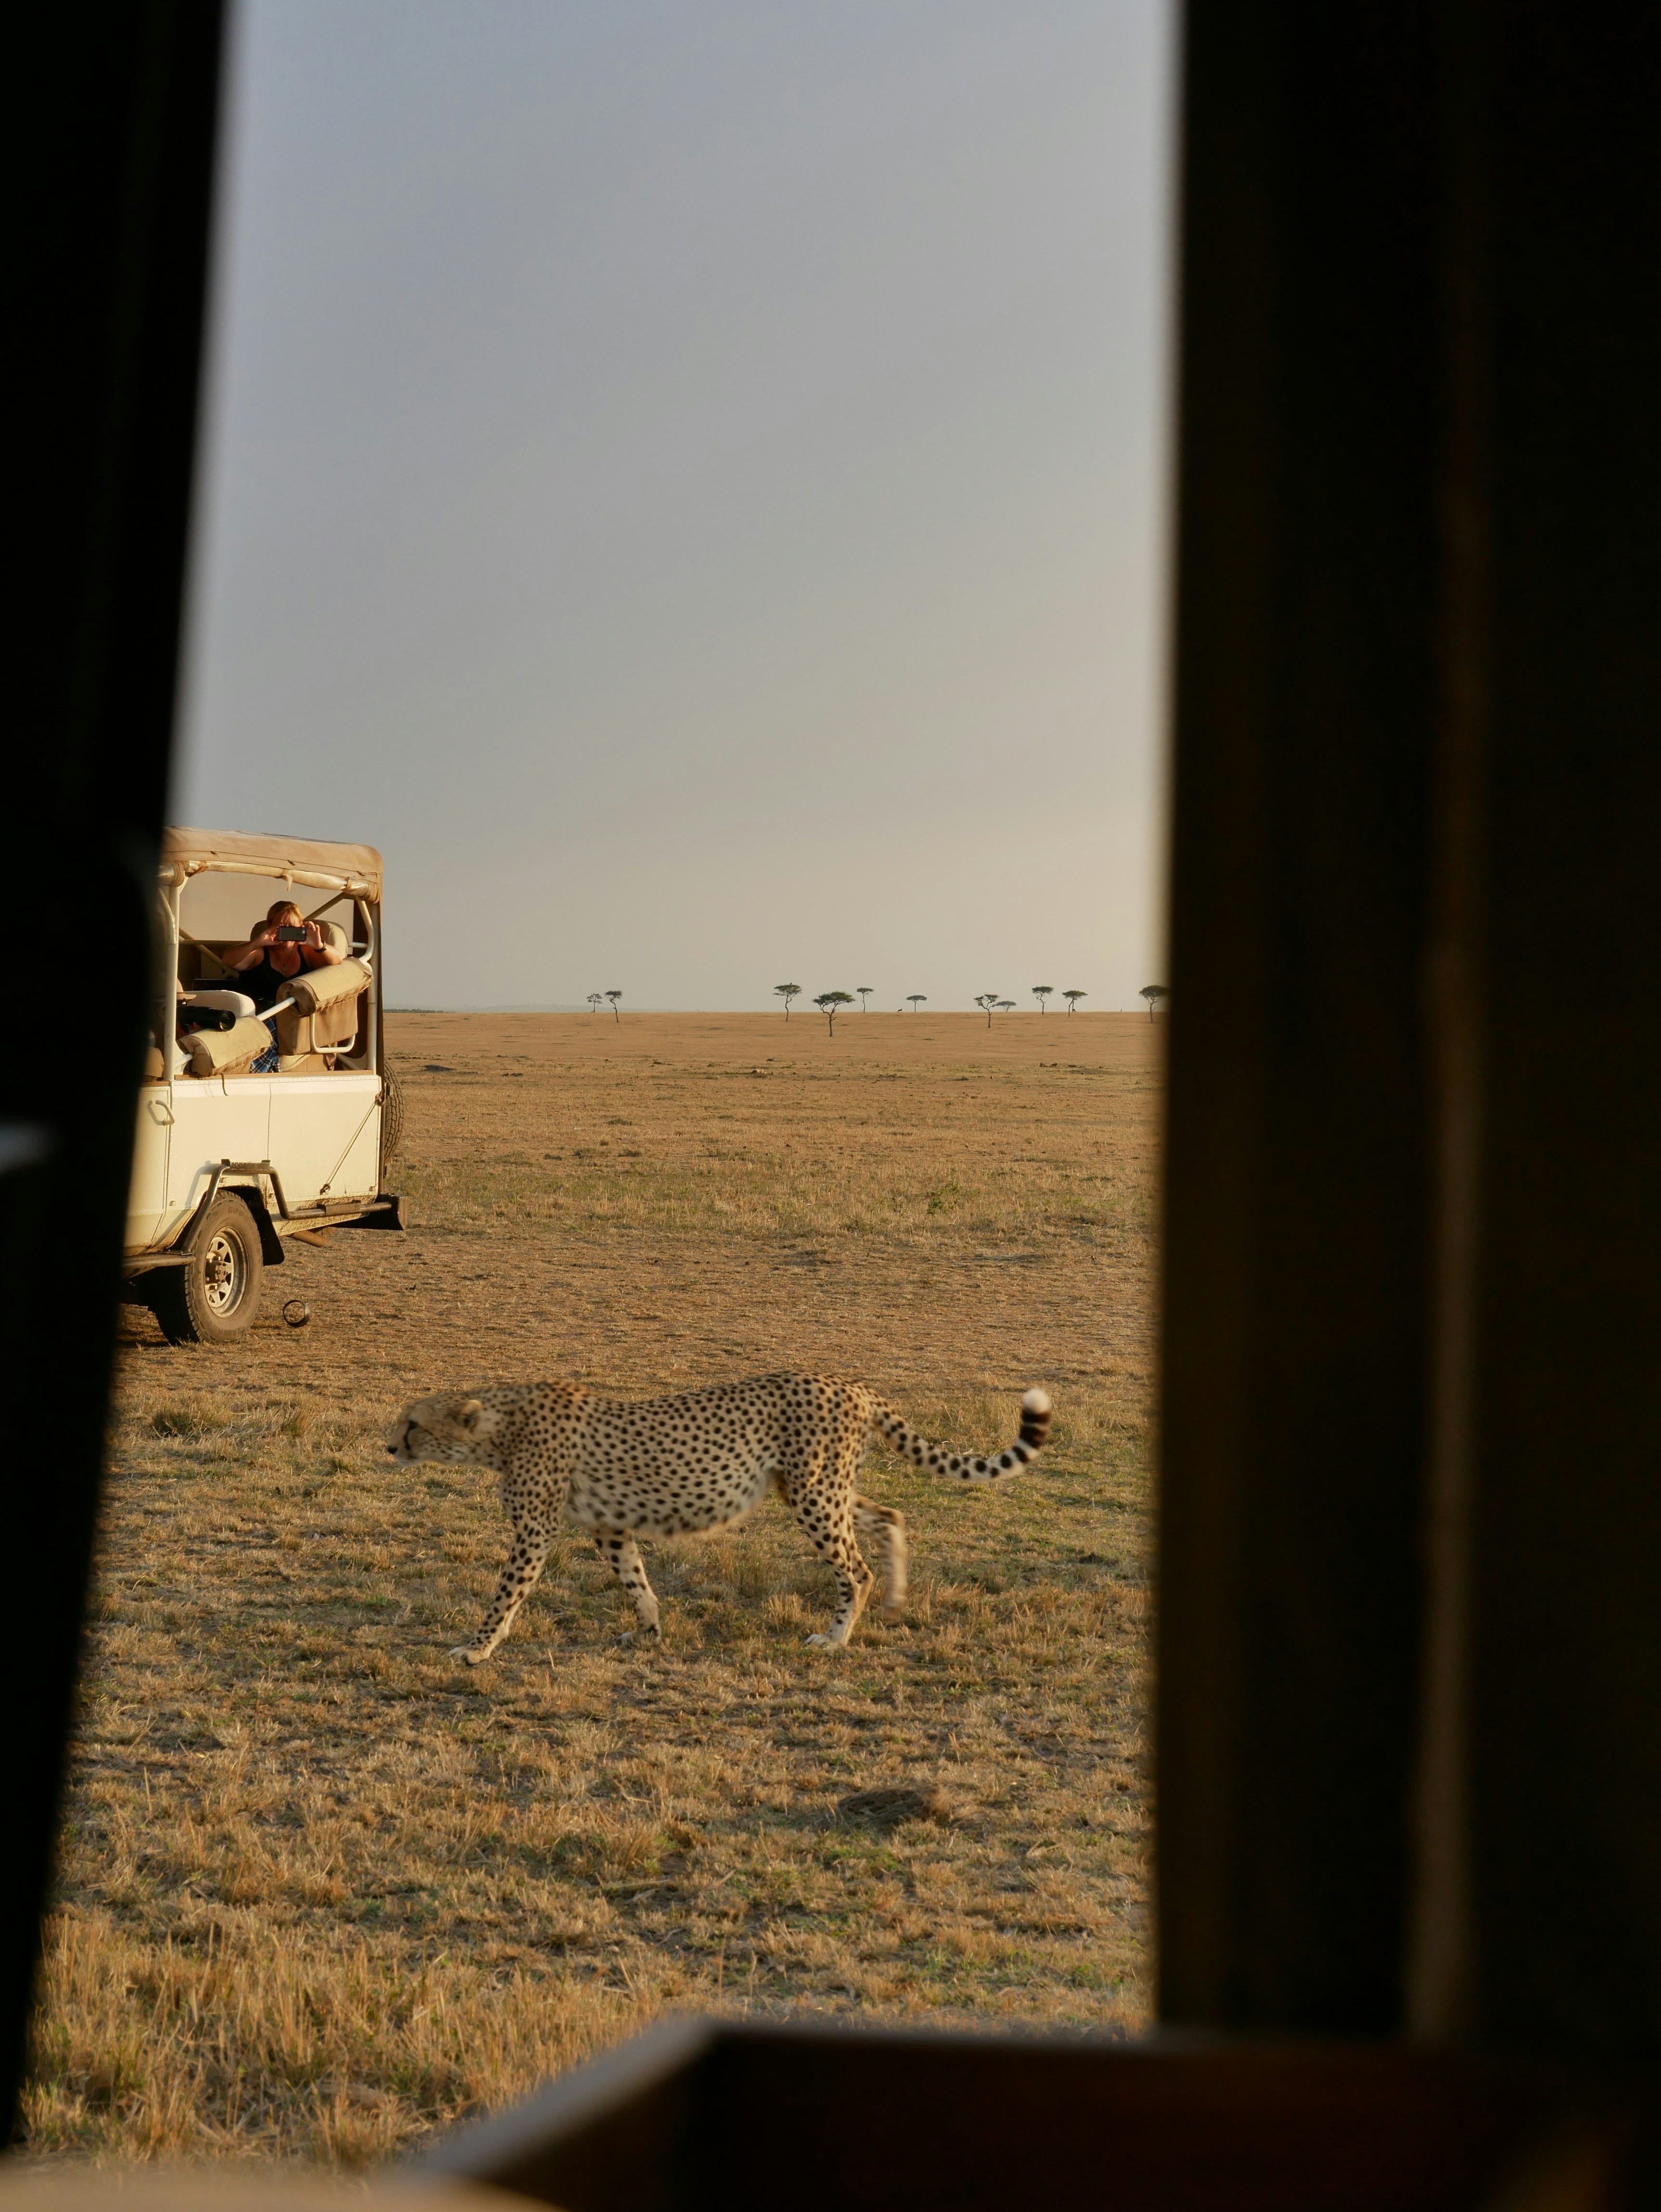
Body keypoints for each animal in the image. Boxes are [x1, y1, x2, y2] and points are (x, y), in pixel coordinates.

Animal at [387, 1373, 1052, 1659]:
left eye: (413, 1423)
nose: (389, 1445)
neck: (499, 1426)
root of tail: (850, 1382)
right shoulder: (608, 1526)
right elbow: (636, 1580)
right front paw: (649, 1630)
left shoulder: (534, 1531)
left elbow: (506, 1595)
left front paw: (475, 1648)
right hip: (816, 1489)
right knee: (888, 1514)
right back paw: (892, 1601)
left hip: (814, 1495)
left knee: (854, 1569)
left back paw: (837, 1635)